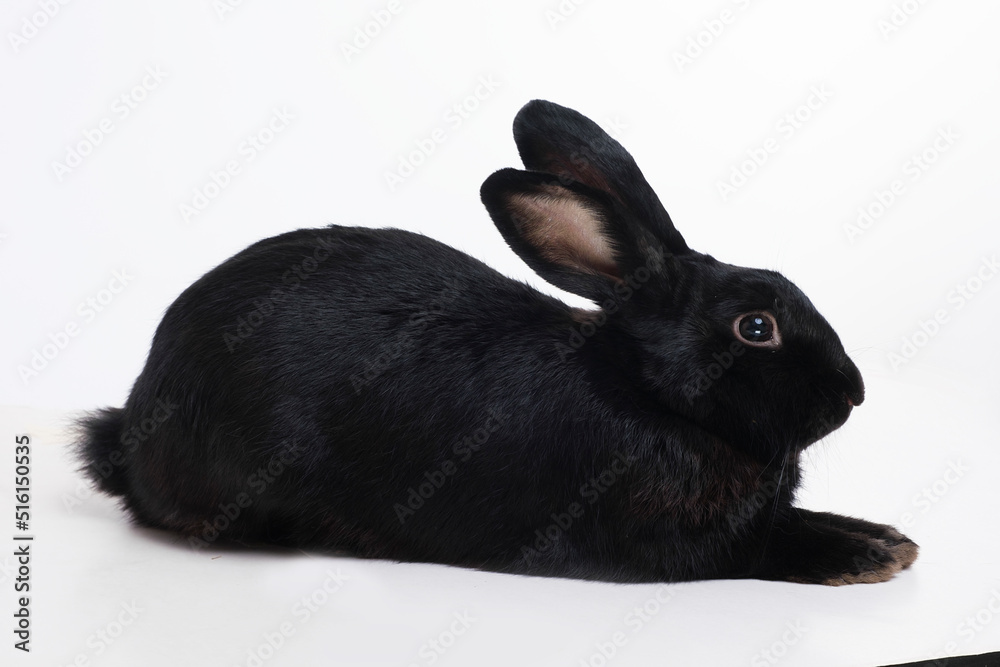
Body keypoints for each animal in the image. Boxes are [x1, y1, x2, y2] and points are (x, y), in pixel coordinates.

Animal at [76, 99, 917, 585]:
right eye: (756, 326)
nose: (853, 391)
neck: (647, 390)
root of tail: (133, 422)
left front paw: (885, 535)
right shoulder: (681, 541)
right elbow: (770, 547)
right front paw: (868, 556)